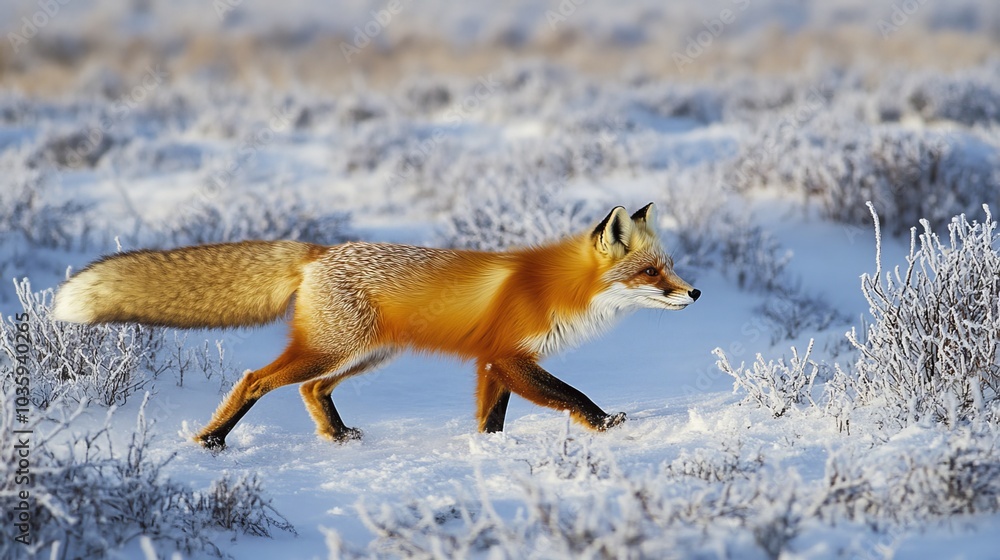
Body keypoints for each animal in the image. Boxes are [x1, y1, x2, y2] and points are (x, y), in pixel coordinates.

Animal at [52, 203, 699, 450]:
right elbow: (573, 394)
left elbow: (490, 417)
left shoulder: (492, 362)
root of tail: (319, 251)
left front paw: (487, 450)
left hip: (364, 355)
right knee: (256, 379)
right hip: (336, 348)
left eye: (668, 266)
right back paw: (212, 440)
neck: (556, 289)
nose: (695, 292)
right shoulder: (511, 356)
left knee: (312, 390)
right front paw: (605, 424)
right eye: (650, 272)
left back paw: (337, 436)